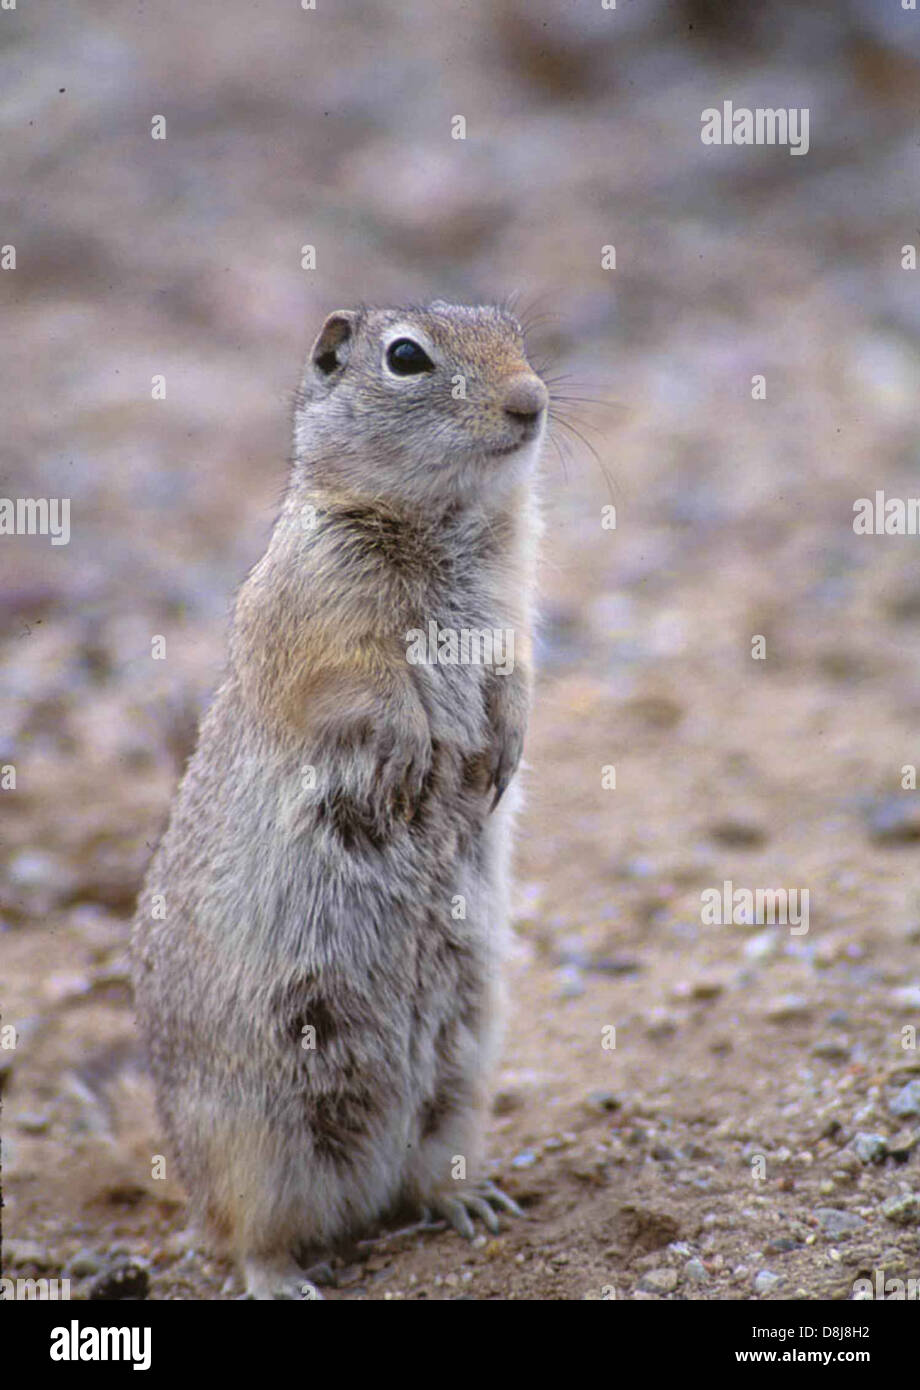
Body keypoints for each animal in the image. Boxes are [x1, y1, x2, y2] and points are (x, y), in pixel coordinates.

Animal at [131, 301, 548, 1298]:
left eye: (515, 332)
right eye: (406, 358)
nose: (533, 401)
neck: (448, 517)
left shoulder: (514, 608)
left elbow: (515, 672)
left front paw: (503, 748)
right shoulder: (325, 608)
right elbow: (368, 687)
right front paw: (410, 759)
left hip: (463, 1070)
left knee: (420, 1175)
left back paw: (470, 1202)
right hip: (258, 1130)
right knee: (247, 1232)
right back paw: (282, 1275)